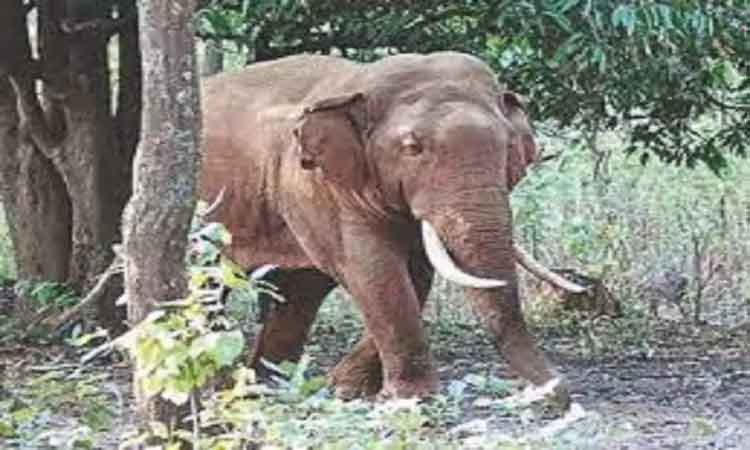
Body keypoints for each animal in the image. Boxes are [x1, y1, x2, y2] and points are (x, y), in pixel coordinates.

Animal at [199, 52, 580, 403]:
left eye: (508, 147)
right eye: (412, 147)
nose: (559, 394)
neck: (360, 79)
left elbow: (416, 274)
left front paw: (345, 389)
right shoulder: (316, 186)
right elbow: (374, 270)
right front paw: (411, 397)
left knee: (296, 291)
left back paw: (265, 385)